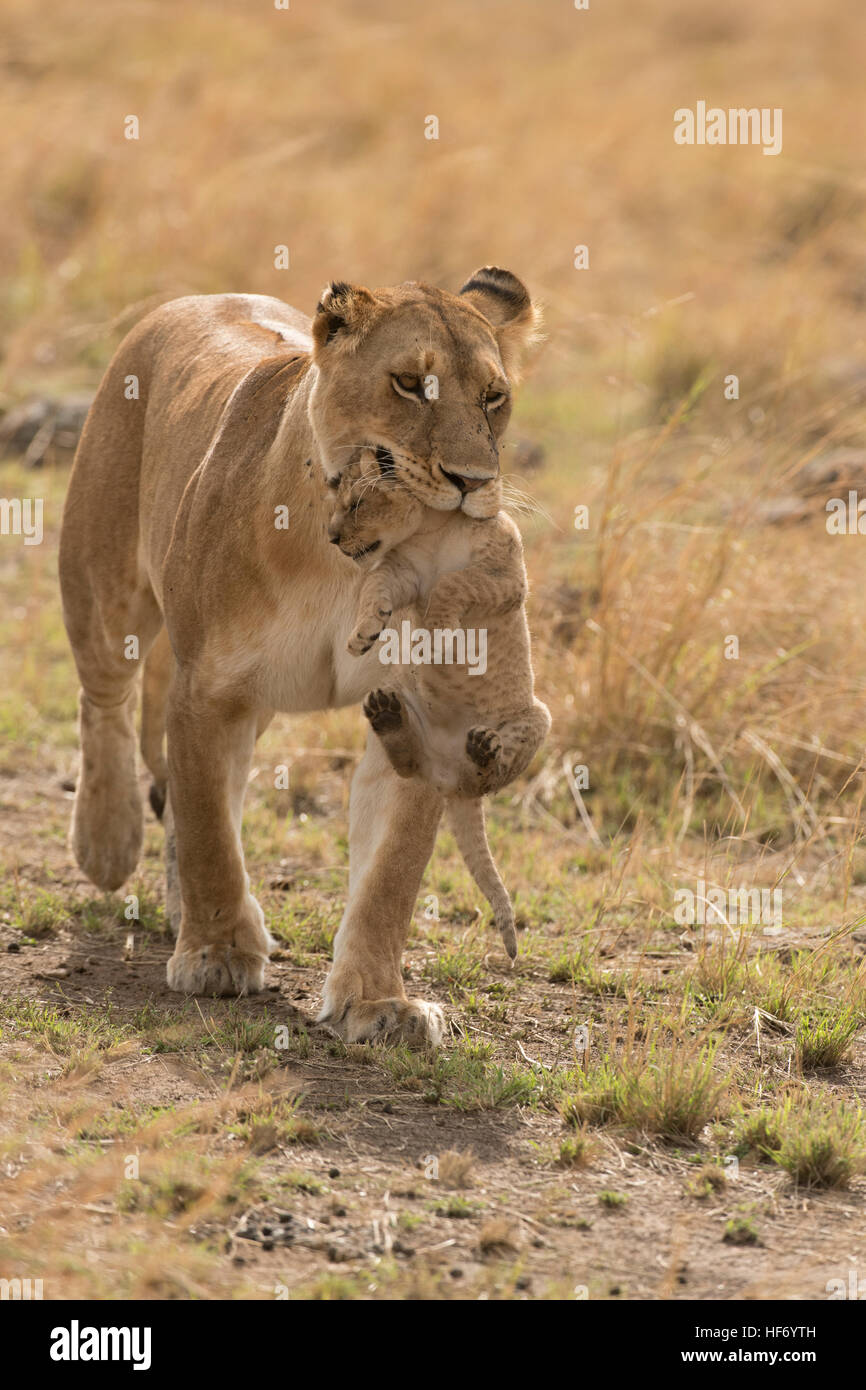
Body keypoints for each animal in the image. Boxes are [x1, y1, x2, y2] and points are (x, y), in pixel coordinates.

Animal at [327, 448, 551, 958]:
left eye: (356, 505)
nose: (330, 537)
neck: (431, 529)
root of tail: (449, 781)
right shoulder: (400, 574)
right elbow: (374, 588)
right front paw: (361, 635)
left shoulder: (506, 577)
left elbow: (453, 585)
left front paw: (441, 632)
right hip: (403, 698)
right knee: (409, 763)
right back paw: (388, 718)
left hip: (538, 717)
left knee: (490, 775)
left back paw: (484, 750)